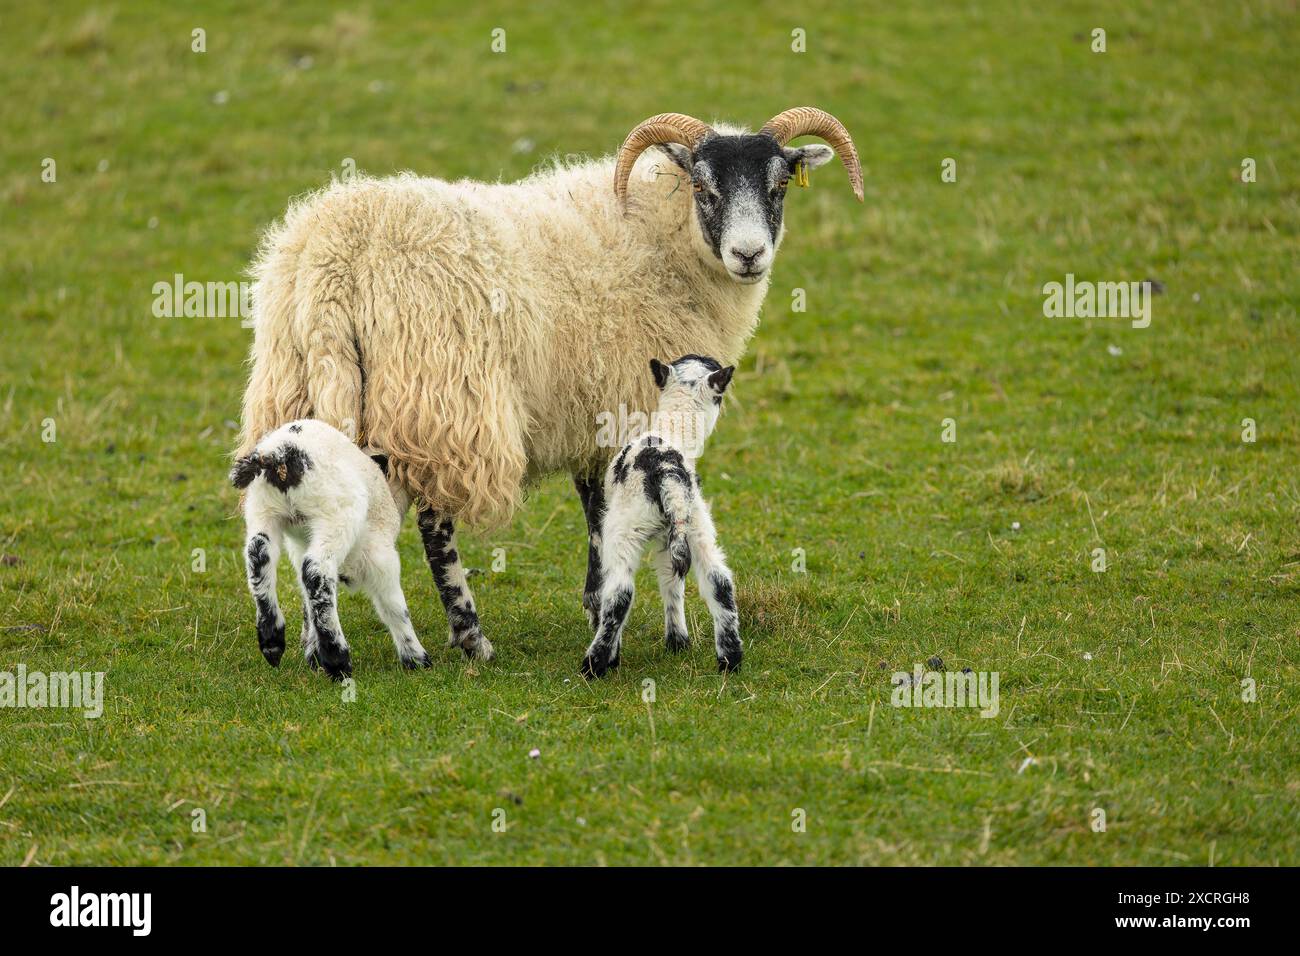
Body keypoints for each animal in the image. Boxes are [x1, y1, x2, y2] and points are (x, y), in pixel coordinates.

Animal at [230, 419, 430, 678]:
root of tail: (279, 451)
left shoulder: (299, 544)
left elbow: (306, 599)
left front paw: (313, 654)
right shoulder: (381, 551)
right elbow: (392, 604)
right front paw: (415, 657)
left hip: (263, 508)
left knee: (258, 555)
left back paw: (272, 640)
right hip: (335, 514)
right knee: (316, 570)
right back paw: (338, 659)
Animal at [582, 355, 739, 678]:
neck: (673, 431)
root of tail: (669, 474)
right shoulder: (672, 537)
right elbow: (671, 580)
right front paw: (678, 642)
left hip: (625, 528)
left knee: (619, 594)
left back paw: (595, 664)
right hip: (696, 523)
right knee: (719, 581)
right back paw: (730, 660)